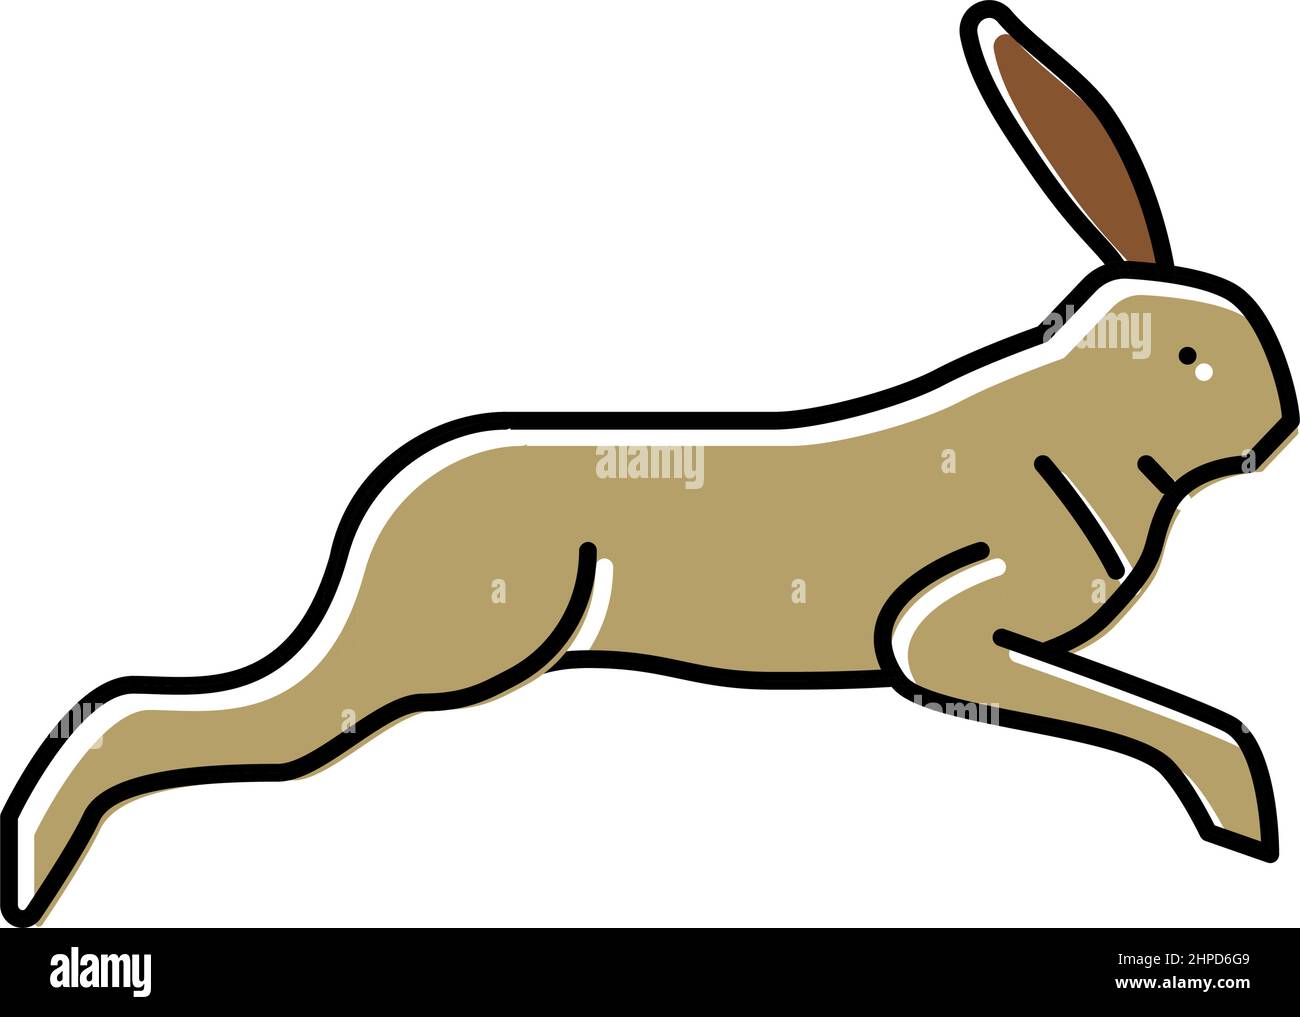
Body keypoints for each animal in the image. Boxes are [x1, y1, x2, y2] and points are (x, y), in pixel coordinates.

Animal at [3, 1, 1295, 927]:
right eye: (1192, 356)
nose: (1279, 424)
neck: (1080, 420)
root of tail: (383, 513)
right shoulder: (941, 635)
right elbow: (1120, 702)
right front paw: (1239, 812)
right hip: (448, 644)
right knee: (168, 717)